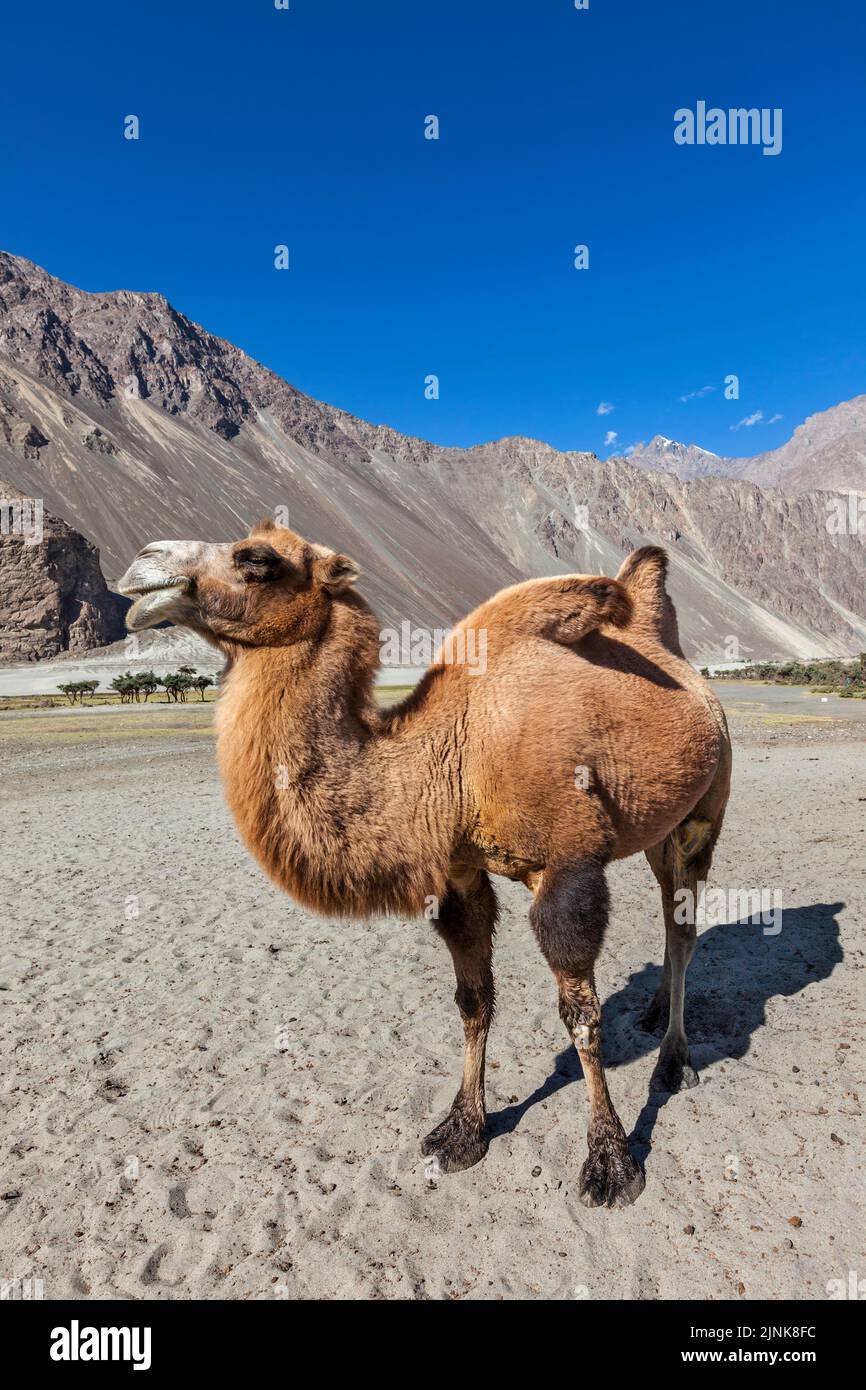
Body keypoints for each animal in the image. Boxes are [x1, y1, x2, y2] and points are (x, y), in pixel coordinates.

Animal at [118, 522, 731, 1209]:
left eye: (257, 559)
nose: (144, 563)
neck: (451, 758)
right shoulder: (459, 872)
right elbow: (473, 999)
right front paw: (461, 1131)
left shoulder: (568, 866)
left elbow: (581, 1016)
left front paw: (610, 1163)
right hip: (658, 829)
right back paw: (653, 1013)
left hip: (703, 815)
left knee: (682, 928)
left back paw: (674, 1060)